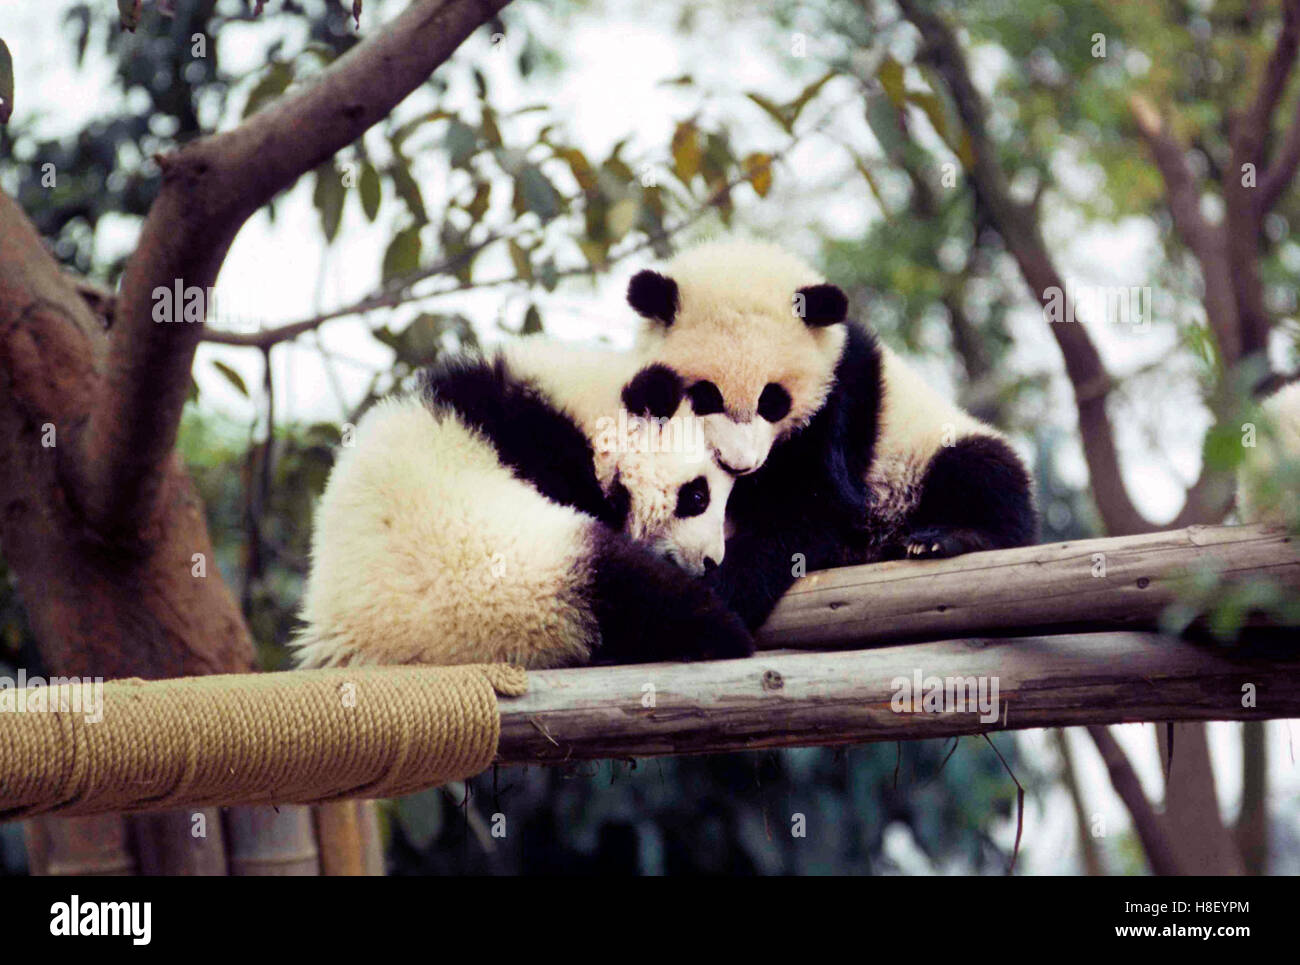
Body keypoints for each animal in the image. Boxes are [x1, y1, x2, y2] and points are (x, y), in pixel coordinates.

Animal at [291, 336, 753, 670]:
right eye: (698, 495)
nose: (711, 561)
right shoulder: (539, 446)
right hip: (517, 582)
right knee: (628, 589)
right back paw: (722, 629)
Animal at [622, 237, 1038, 630]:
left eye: (773, 401)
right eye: (706, 394)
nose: (739, 464)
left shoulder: (839, 405)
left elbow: (810, 510)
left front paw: (720, 590)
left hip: (927, 453)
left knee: (985, 474)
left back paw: (940, 540)